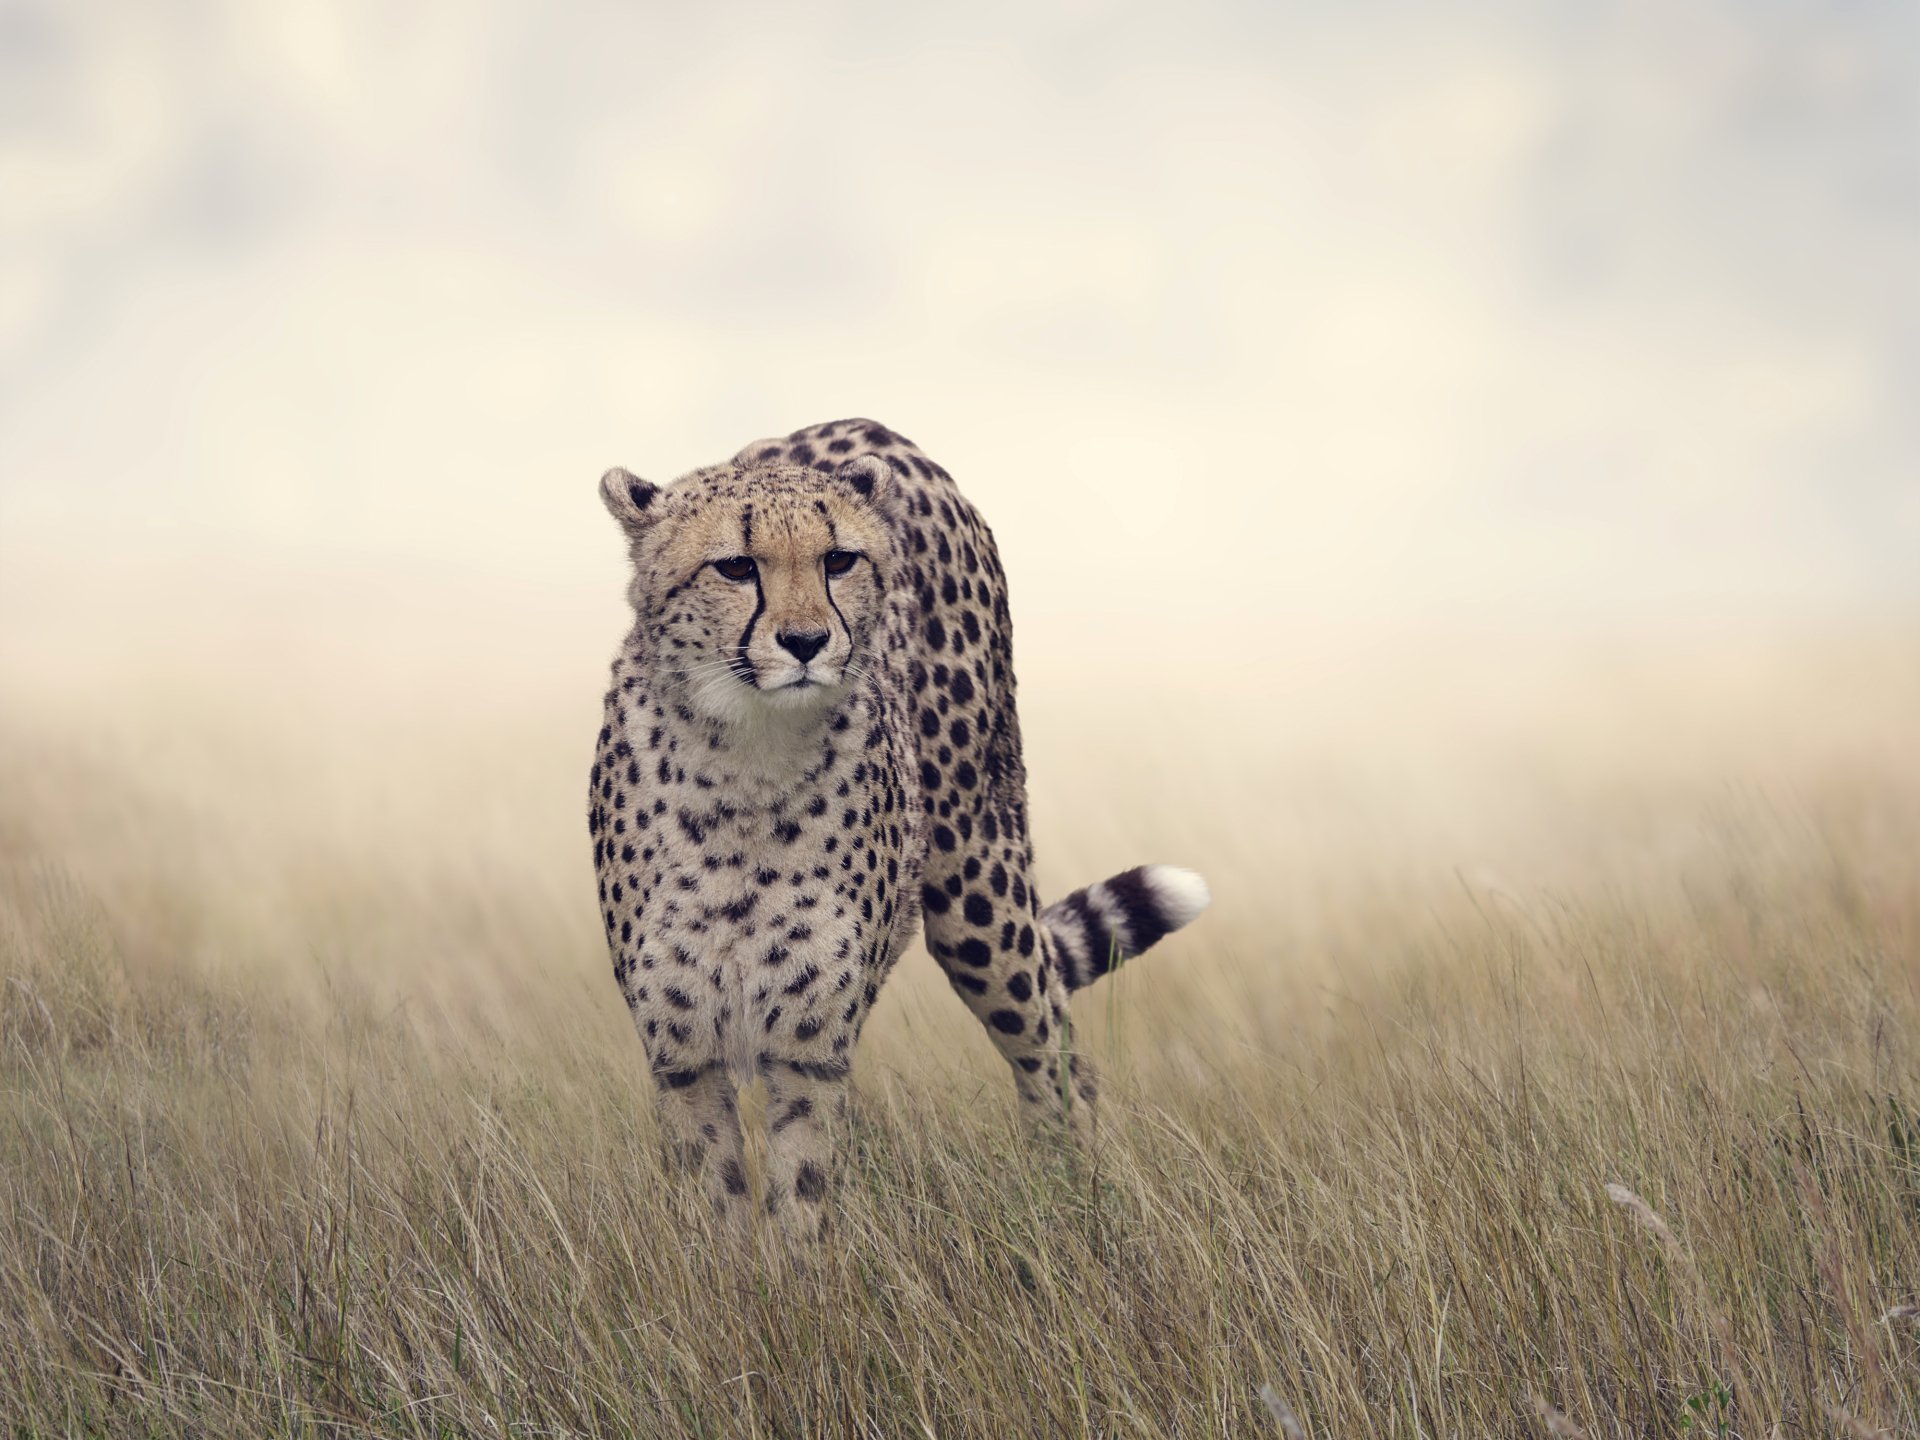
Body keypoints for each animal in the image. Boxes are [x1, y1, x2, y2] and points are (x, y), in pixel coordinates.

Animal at [587, 419, 1209, 1239]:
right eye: (736, 566)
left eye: (838, 559)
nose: (807, 641)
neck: (747, 759)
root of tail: (870, 429)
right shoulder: (683, 1058)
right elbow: (716, 1216)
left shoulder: (810, 1053)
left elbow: (801, 1206)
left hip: (980, 899)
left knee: (1054, 1053)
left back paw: (1073, 1201)